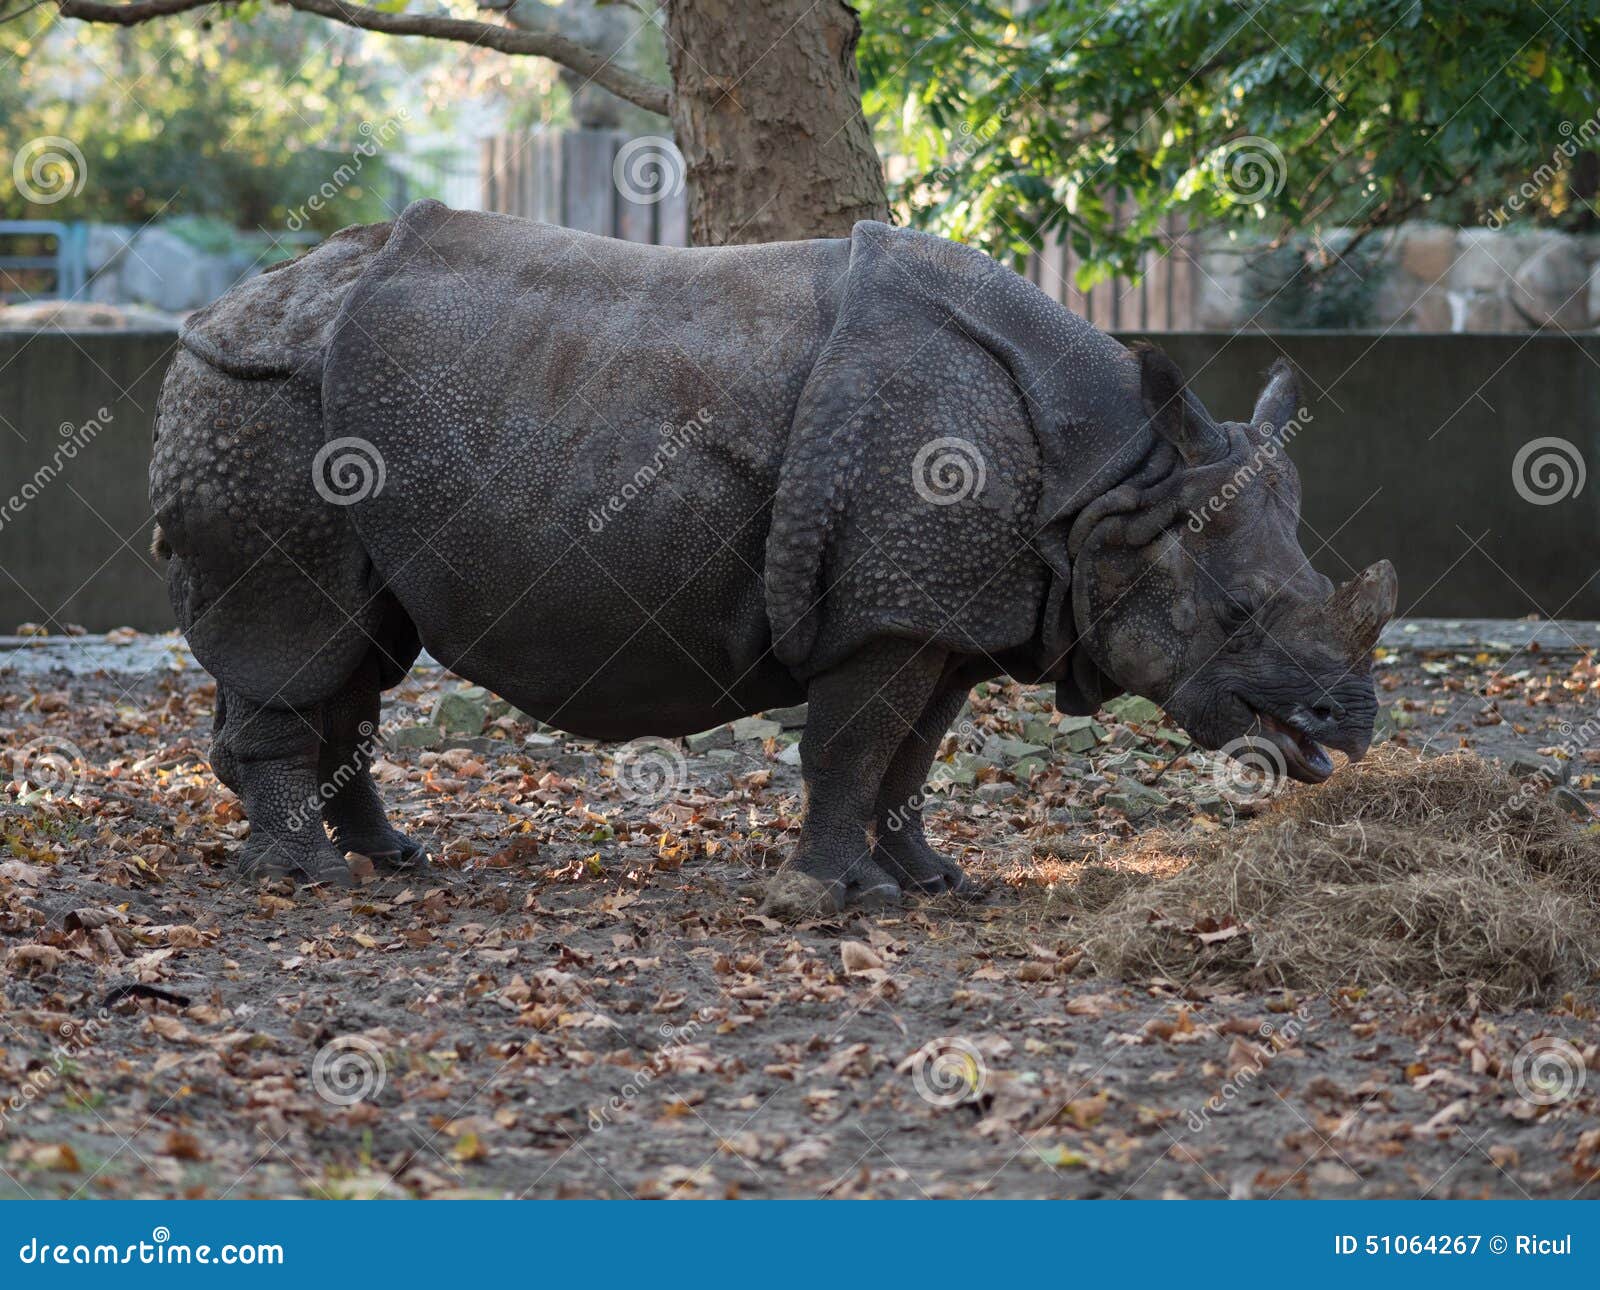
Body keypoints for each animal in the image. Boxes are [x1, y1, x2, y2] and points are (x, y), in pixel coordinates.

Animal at [149, 200, 1397, 913]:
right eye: (1238, 614)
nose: (1348, 727)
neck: (1113, 481)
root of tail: (220, 311)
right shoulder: (891, 608)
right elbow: (852, 749)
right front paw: (823, 900)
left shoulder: (943, 611)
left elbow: (910, 757)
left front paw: (927, 885)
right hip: (265, 401)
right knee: (299, 631)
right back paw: (302, 880)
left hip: (315, 416)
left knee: (360, 648)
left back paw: (387, 858)